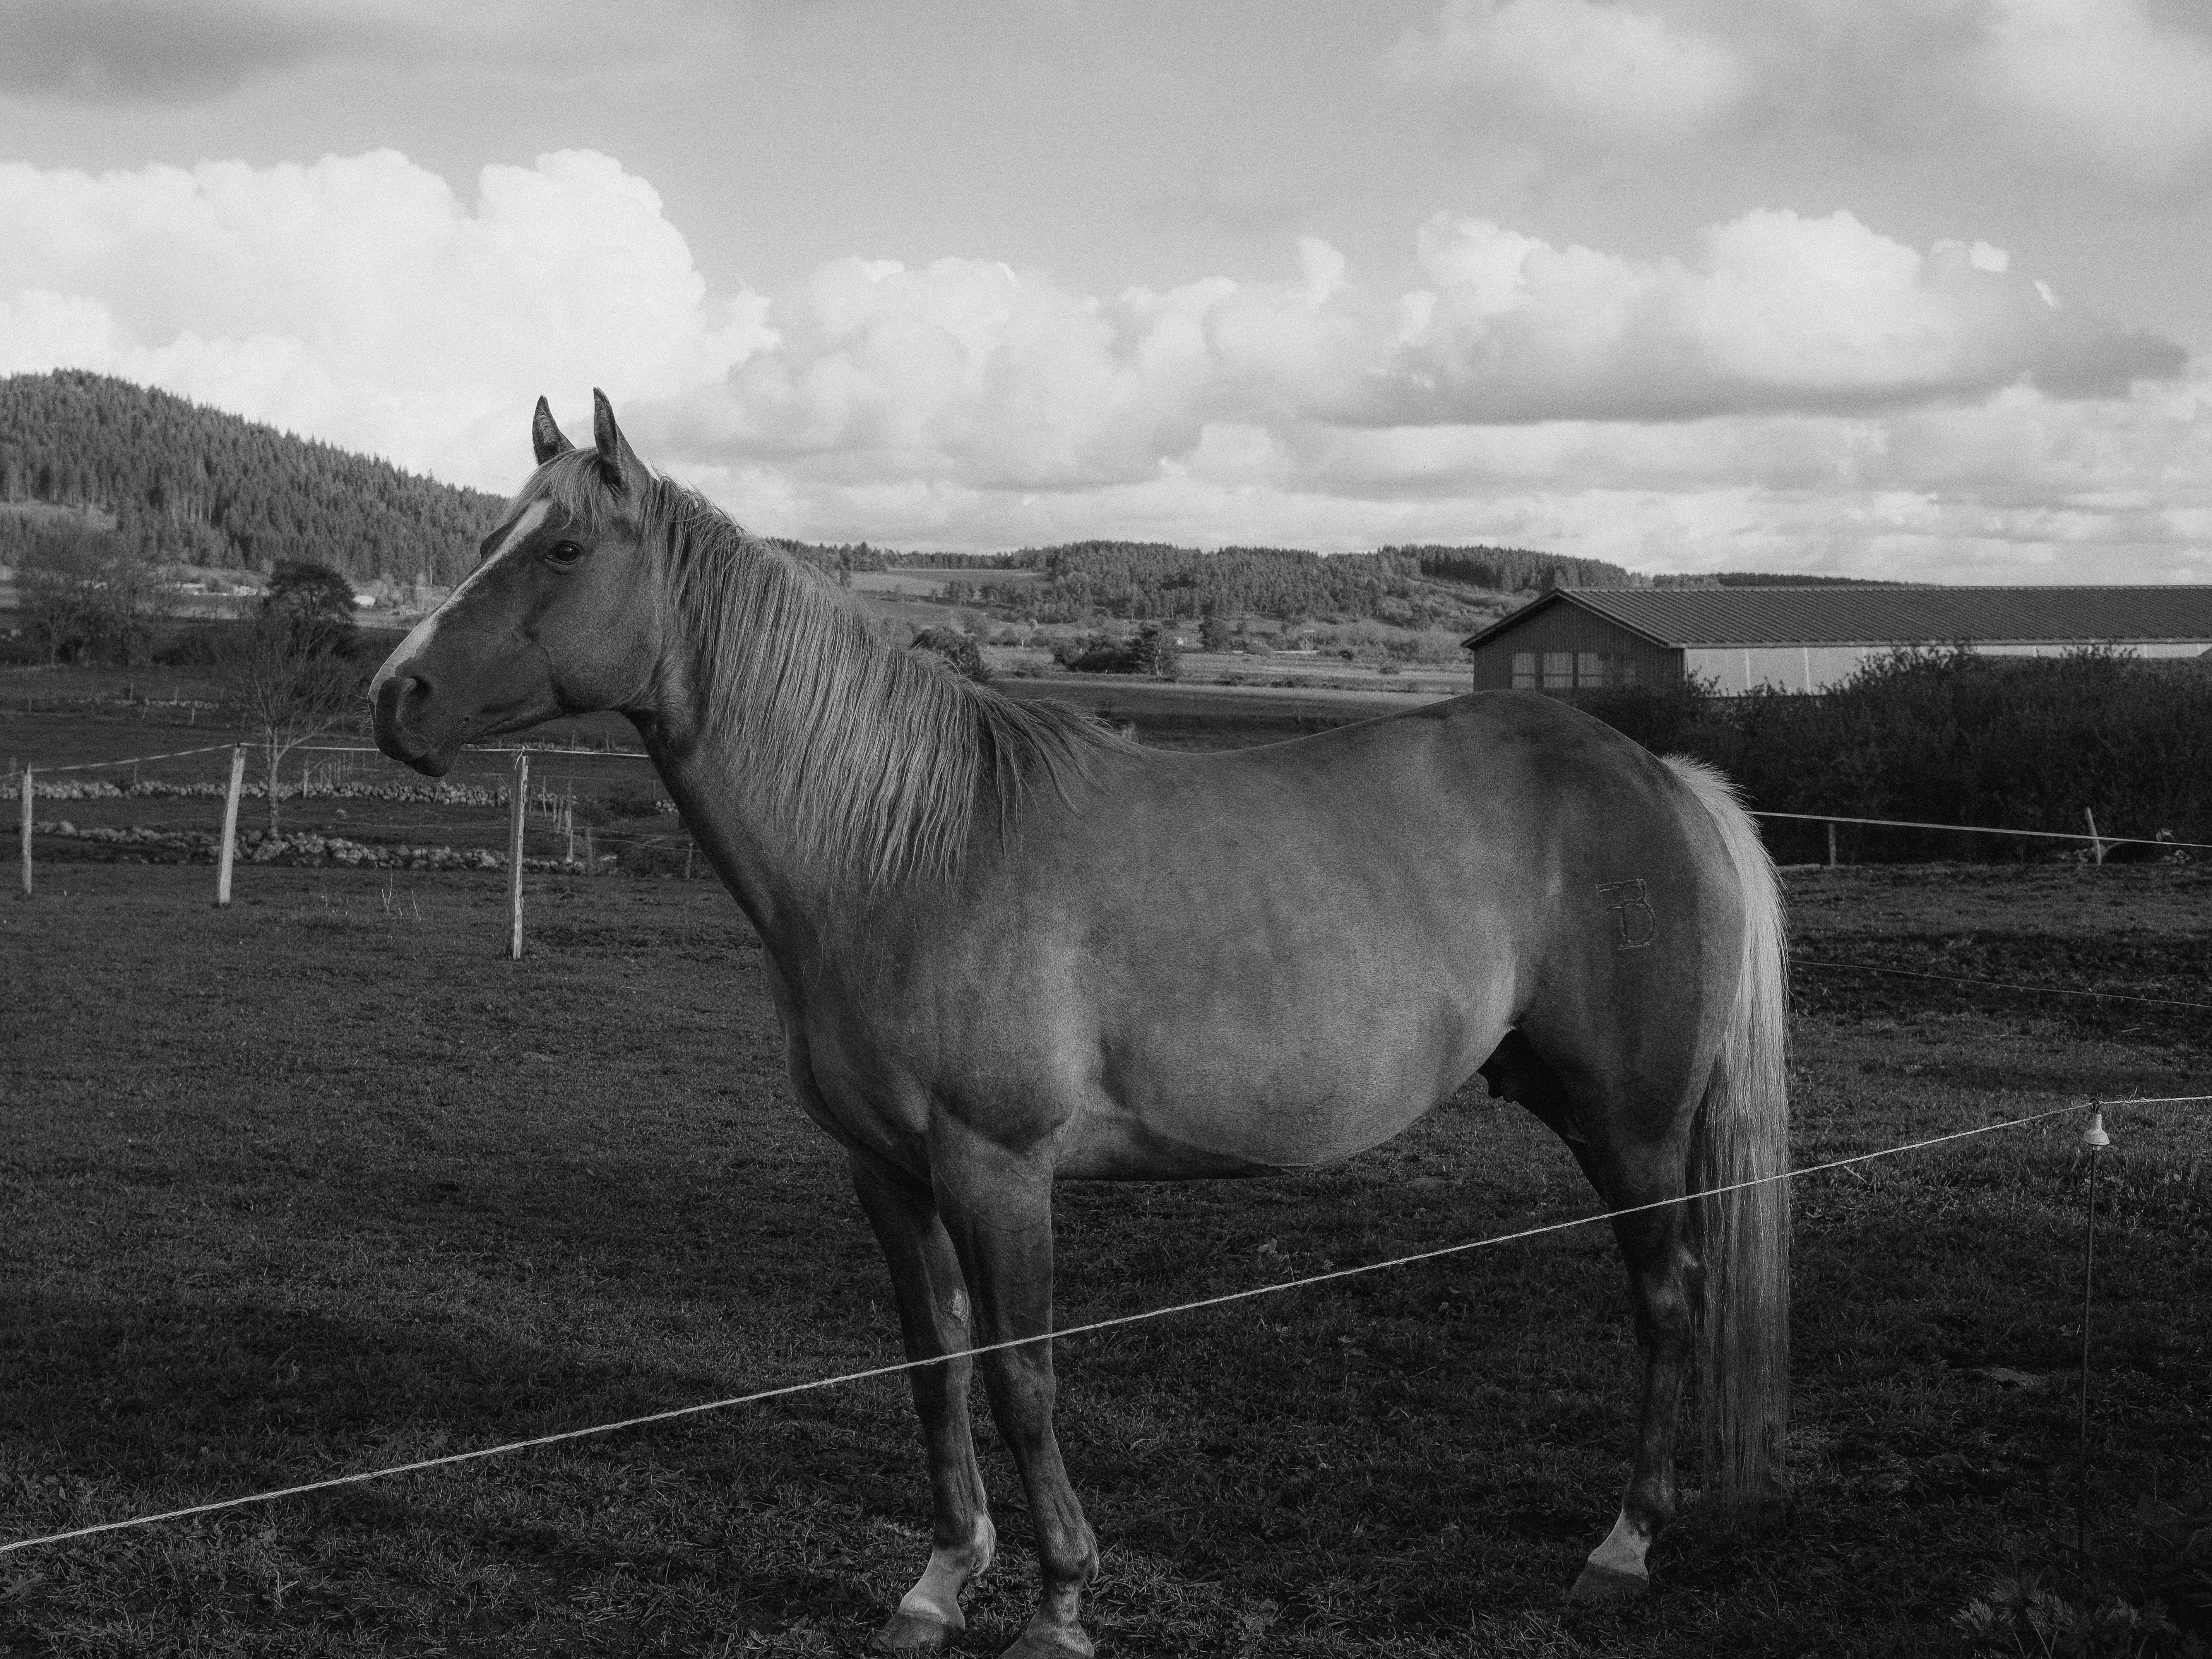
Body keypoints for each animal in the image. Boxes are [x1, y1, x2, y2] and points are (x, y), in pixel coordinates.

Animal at [370, 392, 1790, 1659]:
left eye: (560, 550)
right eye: (490, 533)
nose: (396, 695)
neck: (904, 849)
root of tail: (1660, 777)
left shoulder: (999, 1166)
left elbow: (1022, 1374)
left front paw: (1058, 1600)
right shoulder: (886, 1170)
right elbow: (936, 1364)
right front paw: (940, 1582)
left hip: (1633, 1124)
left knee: (1667, 1297)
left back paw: (1621, 1546)